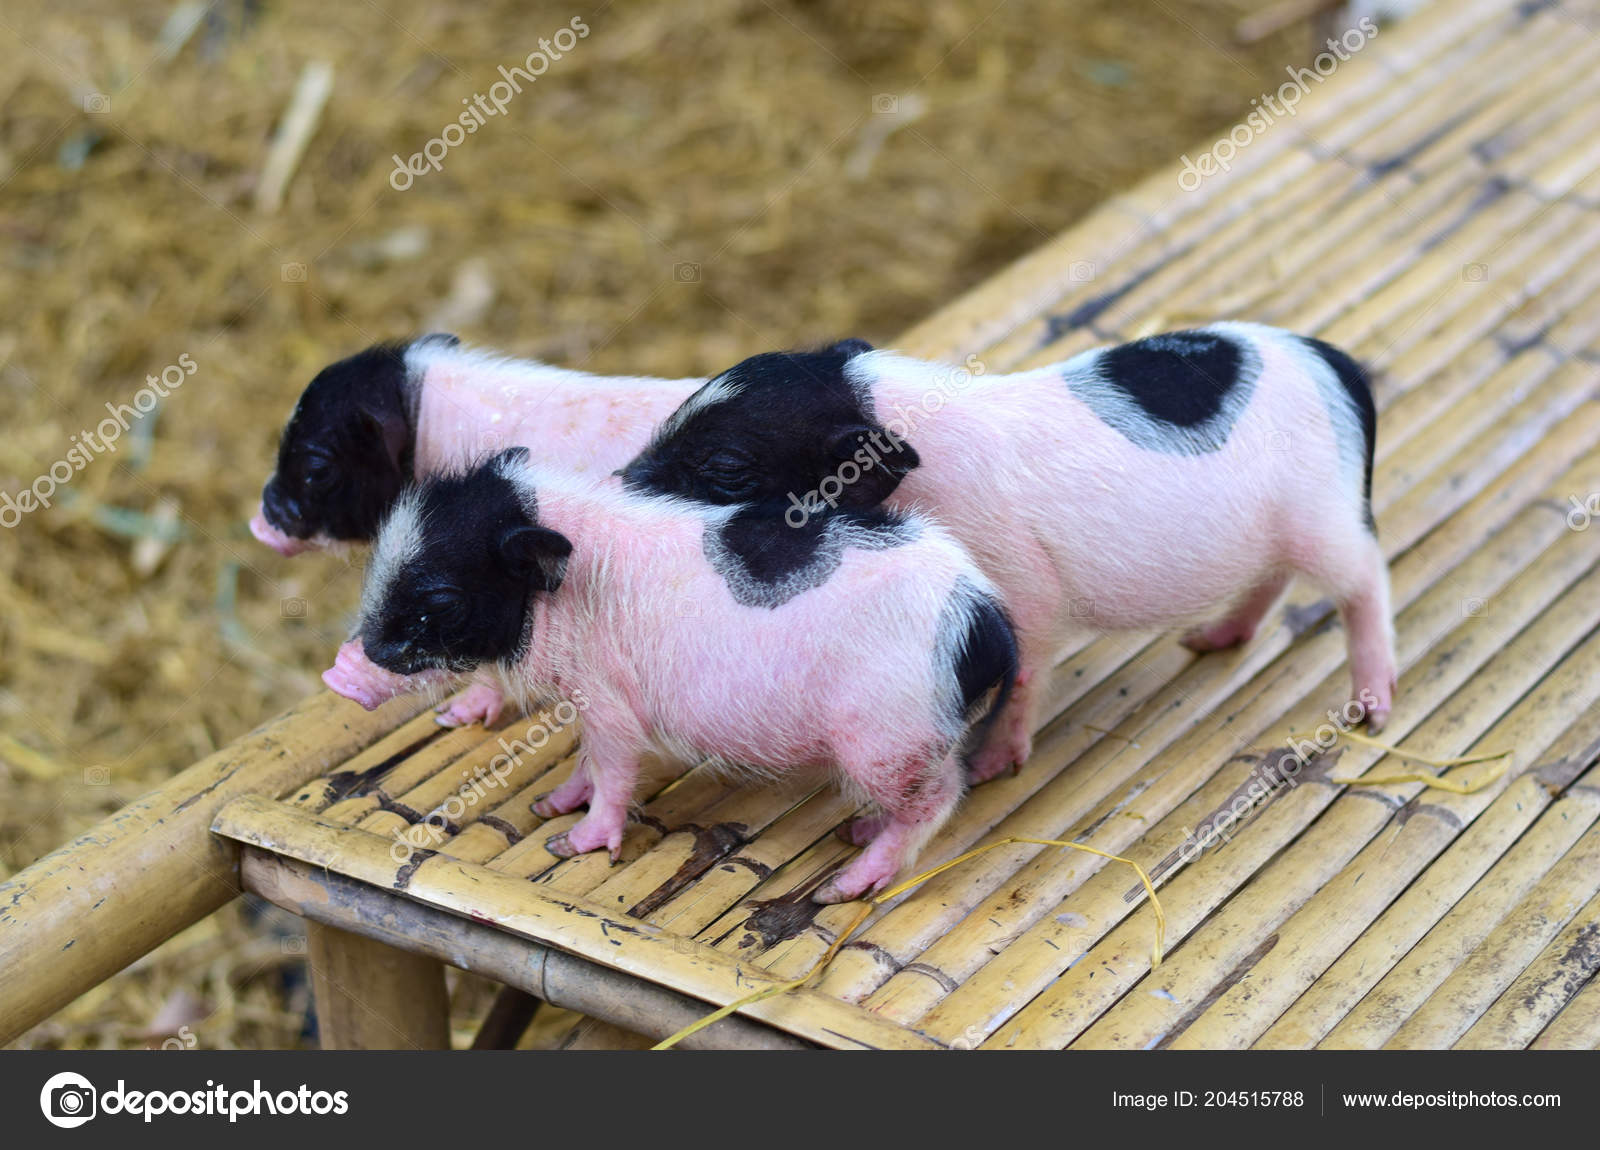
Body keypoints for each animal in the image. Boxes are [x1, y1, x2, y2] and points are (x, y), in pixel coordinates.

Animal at [321, 447, 1018, 903]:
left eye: (438, 602)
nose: (340, 675)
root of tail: (986, 618)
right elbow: (587, 763)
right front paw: (549, 805)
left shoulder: (608, 700)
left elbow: (613, 770)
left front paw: (569, 844)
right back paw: (861, 829)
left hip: (888, 739)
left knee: (941, 799)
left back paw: (845, 885)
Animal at [617, 322, 1398, 784]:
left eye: (726, 469)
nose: (622, 479)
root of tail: (1336, 364)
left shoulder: (1023, 581)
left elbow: (1024, 667)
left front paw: (990, 766)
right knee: (1274, 580)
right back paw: (1208, 640)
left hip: (1325, 515)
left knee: (1367, 580)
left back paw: (1372, 710)